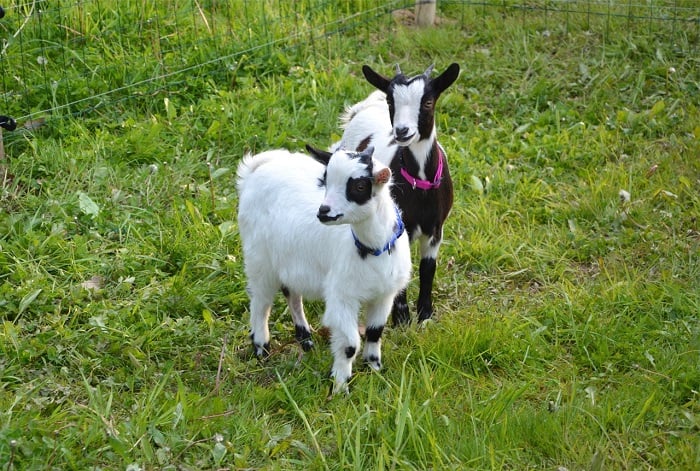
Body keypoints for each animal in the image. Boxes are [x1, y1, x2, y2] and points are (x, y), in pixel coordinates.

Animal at [236, 146, 411, 394]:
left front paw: (374, 369)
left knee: (291, 293)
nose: (323, 211)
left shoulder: (384, 294)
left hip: (289, 258)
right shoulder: (342, 296)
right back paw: (262, 348)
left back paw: (306, 340)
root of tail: (257, 167)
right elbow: (349, 344)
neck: (372, 248)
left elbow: (375, 331)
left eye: (359, 186)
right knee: (260, 303)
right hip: (259, 257)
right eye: (326, 181)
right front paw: (339, 386)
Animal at [334, 63, 460, 325]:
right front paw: (401, 316)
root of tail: (365, 107)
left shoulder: (436, 229)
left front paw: (425, 315)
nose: (402, 131)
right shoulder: (401, 226)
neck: (419, 185)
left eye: (428, 102)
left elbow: (427, 268)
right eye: (392, 101)